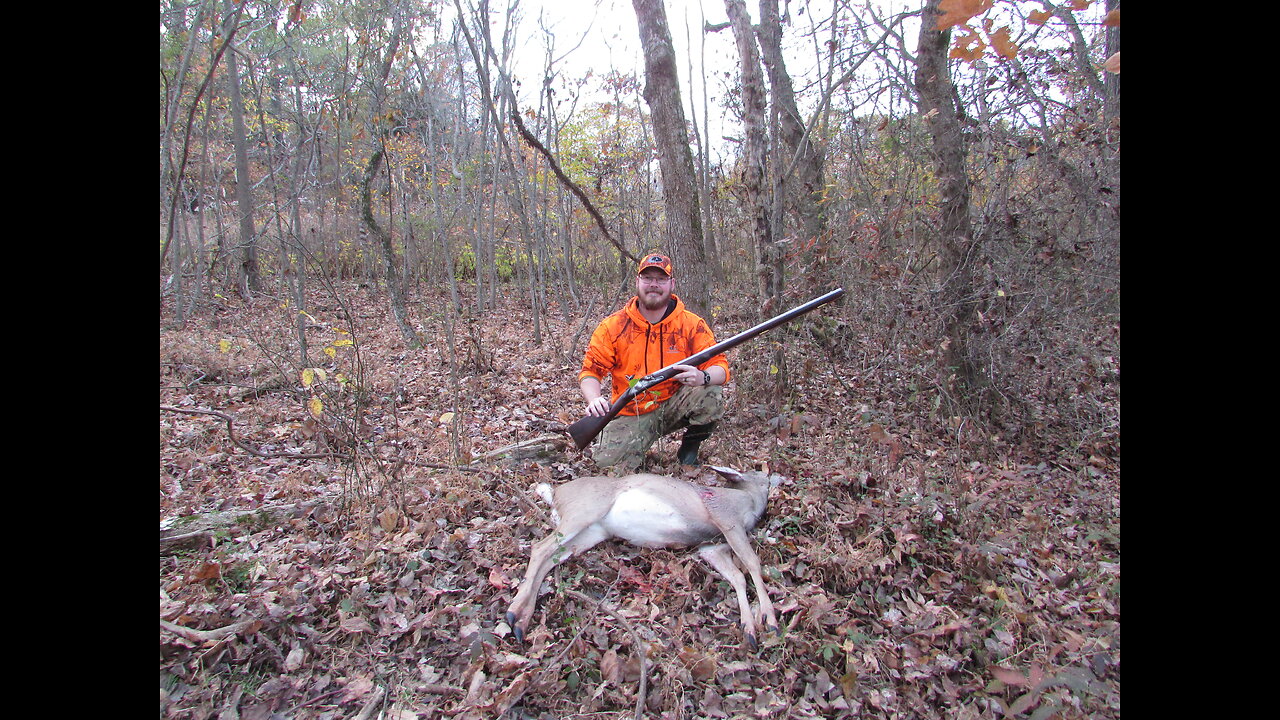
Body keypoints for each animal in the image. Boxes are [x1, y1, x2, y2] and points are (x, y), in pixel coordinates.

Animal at [504, 465, 783, 648]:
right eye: (759, 473)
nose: (774, 474)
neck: (750, 502)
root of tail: (555, 493)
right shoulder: (727, 519)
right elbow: (753, 564)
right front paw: (769, 620)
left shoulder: (710, 547)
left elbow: (737, 576)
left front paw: (749, 629)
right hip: (584, 511)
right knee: (540, 548)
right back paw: (513, 613)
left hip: (592, 532)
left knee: (548, 559)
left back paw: (519, 622)